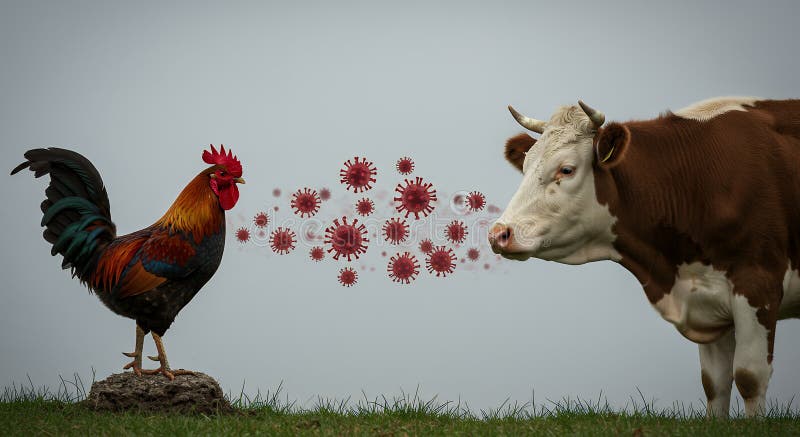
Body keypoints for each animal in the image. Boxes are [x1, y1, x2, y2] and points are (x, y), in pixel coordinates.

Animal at [488, 97, 800, 418]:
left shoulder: (759, 284)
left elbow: (750, 378)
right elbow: (715, 383)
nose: (500, 233)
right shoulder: (710, 300)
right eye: (525, 166)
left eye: (566, 169)